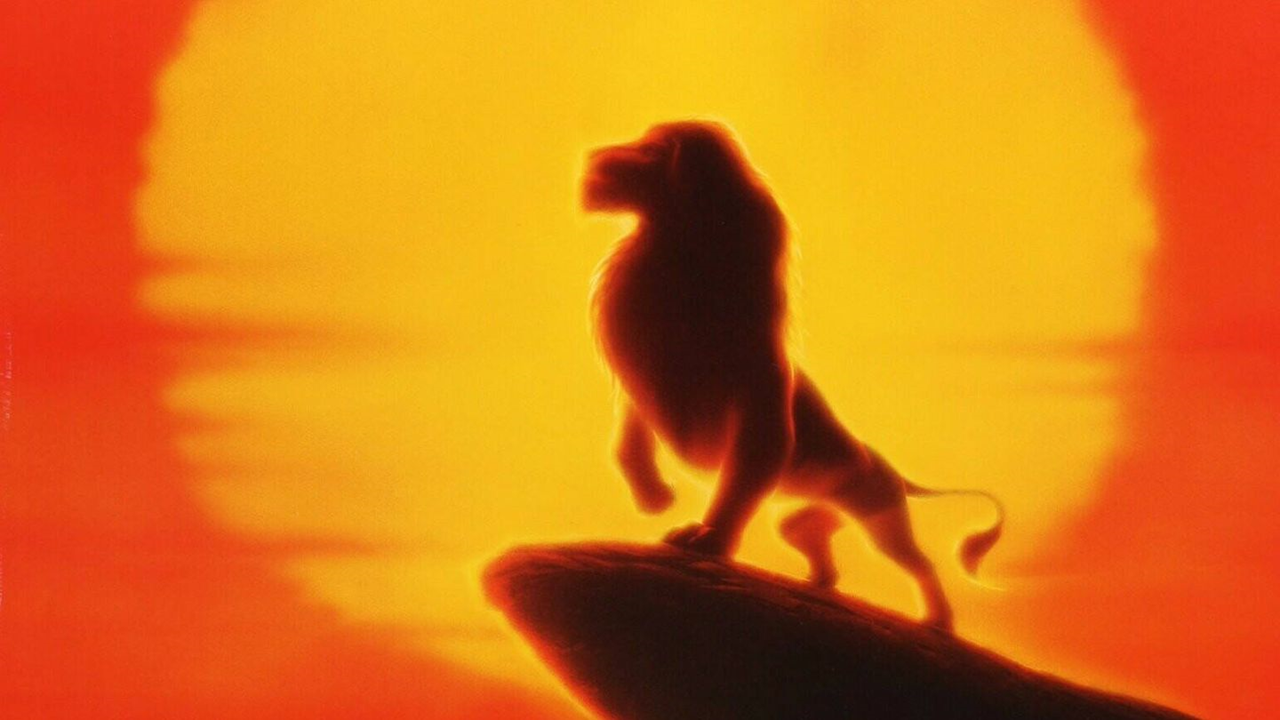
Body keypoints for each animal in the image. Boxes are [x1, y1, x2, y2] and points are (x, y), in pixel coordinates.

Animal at [582, 121, 1002, 631]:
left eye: (652, 150)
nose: (591, 160)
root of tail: (894, 471)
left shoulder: (758, 422)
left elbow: (736, 489)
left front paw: (707, 541)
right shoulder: (645, 384)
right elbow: (627, 444)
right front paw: (654, 498)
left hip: (881, 519)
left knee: (919, 563)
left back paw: (938, 620)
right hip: (809, 517)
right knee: (809, 535)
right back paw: (818, 583)